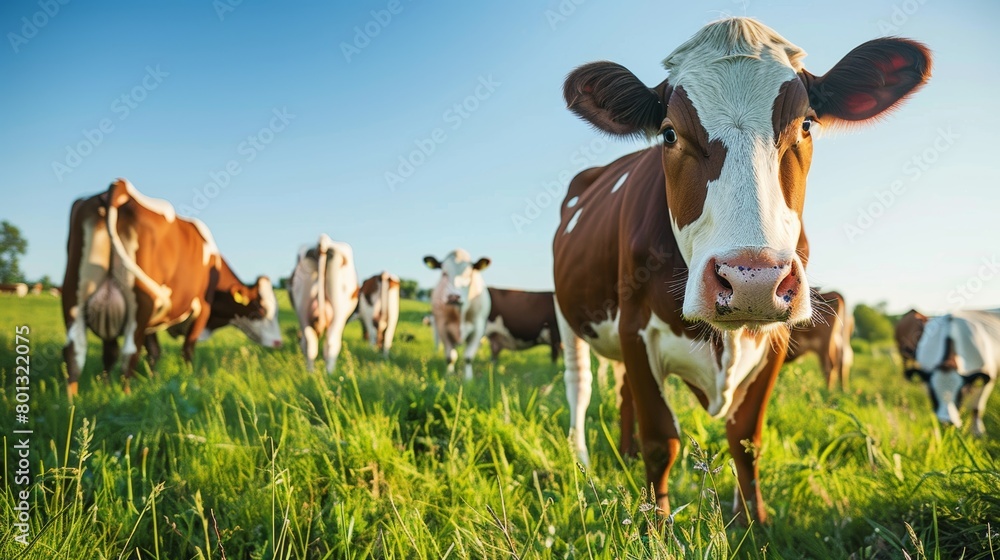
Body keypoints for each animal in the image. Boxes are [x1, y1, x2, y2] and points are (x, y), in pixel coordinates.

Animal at [62, 179, 283, 396]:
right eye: (260, 310)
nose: (278, 342)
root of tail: (120, 186)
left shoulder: (149, 323)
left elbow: (148, 353)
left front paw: (136, 383)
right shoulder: (202, 308)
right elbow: (187, 349)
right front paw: (189, 378)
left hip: (74, 292)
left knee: (75, 351)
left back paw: (73, 400)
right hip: (141, 302)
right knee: (129, 353)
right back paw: (124, 397)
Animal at [288, 234, 359, 373]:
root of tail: (323, 241)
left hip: (302, 309)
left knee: (309, 343)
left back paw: (311, 373)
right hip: (339, 311)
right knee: (331, 343)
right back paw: (329, 373)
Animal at [424, 249, 491, 380]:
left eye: (469, 275)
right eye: (444, 273)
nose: (453, 296)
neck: (460, 313)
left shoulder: (478, 329)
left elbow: (468, 357)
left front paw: (468, 379)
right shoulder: (442, 328)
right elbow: (450, 357)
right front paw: (449, 375)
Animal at [553, 17, 930, 523]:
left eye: (806, 124)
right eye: (669, 133)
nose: (753, 279)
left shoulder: (776, 338)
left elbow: (746, 438)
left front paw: (753, 520)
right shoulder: (635, 328)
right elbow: (661, 441)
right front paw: (657, 524)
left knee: (622, 390)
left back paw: (624, 454)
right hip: (567, 314)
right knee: (580, 384)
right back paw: (581, 460)